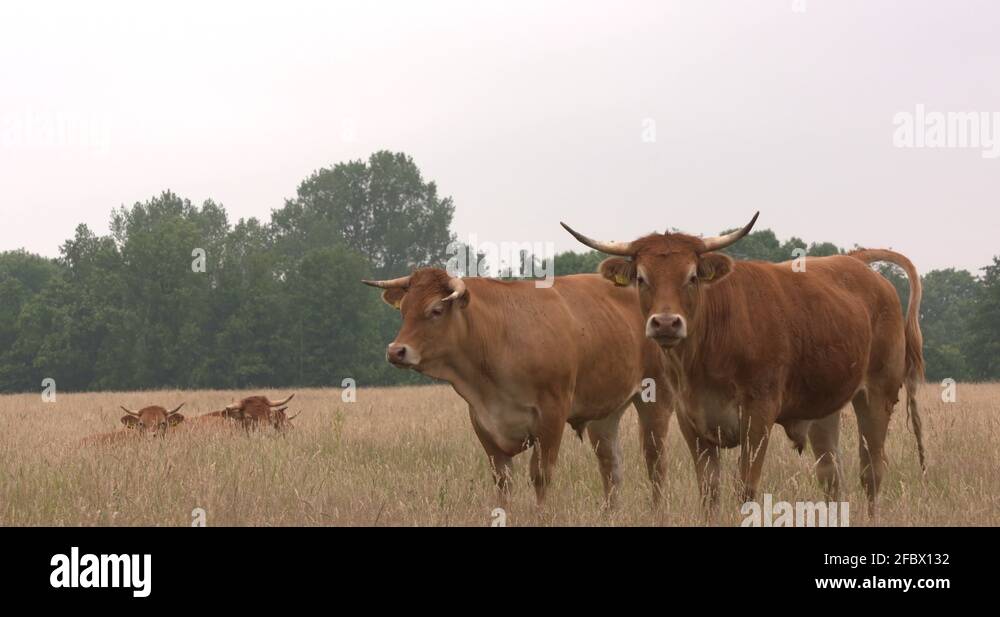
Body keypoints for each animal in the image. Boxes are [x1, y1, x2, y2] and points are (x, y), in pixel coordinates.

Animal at [362, 268, 674, 508]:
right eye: (404, 311)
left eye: (436, 310)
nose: (396, 351)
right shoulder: (483, 421)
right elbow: (502, 481)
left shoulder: (551, 416)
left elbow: (541, 476)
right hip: (605, 413)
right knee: (611, 467)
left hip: (656, 399)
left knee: (655, 463)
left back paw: (657, 511)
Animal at [561, 213, 926, 516]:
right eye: (641, 278)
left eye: (692, 277)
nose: (665, 323)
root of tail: (858, 264)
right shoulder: (690, 420)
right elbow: (709, 492)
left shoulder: (758, 415)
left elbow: (746, 488)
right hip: (825, 408)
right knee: (832, 476)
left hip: (877, 396)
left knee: (871, 473)